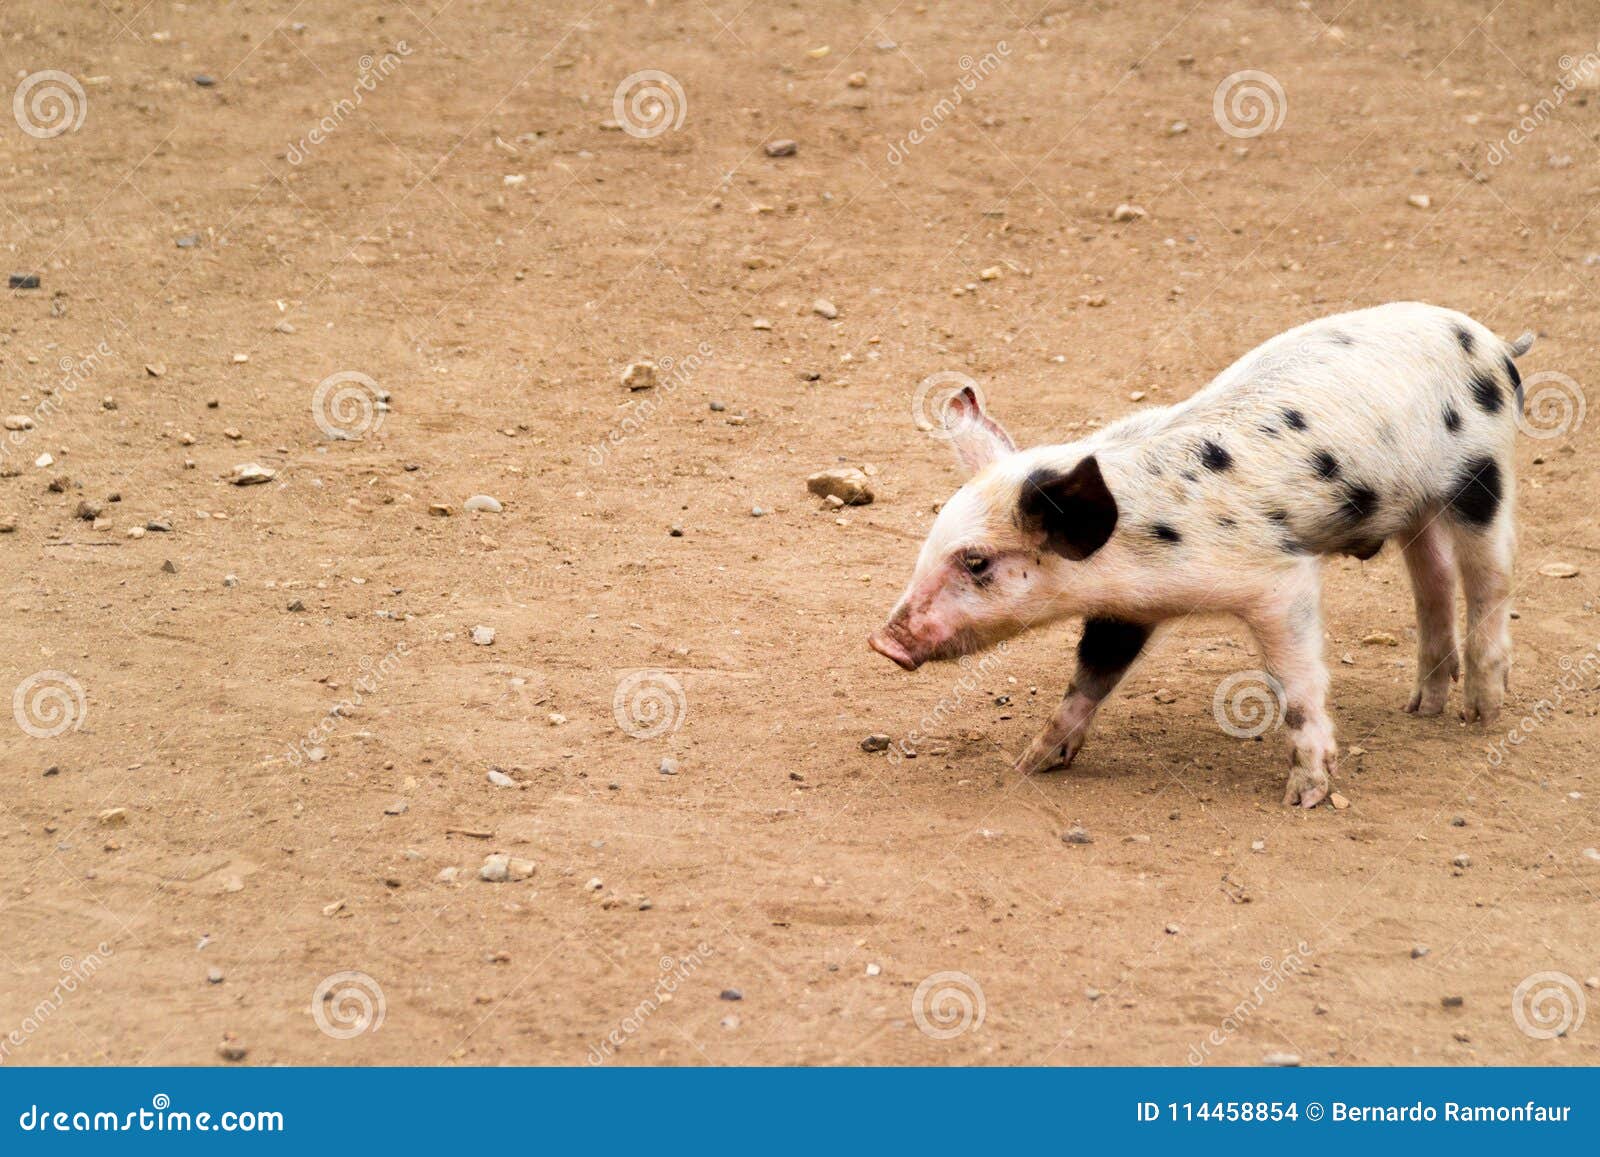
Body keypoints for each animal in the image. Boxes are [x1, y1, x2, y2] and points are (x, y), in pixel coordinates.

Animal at [869, 302, 1535, 807]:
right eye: (931, 545)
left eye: (976, 562)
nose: (883, 642)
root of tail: (1495, 344)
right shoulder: (1126, 610)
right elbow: (1089, 677)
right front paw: (1029, 763)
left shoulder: (1279, 582)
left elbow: (1297, 686)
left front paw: (1305, 796)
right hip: (1415, 505)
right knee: (1433, 578)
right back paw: (1422, 707)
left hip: (1485, 477)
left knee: (1491, 579)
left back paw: (1480, 713)